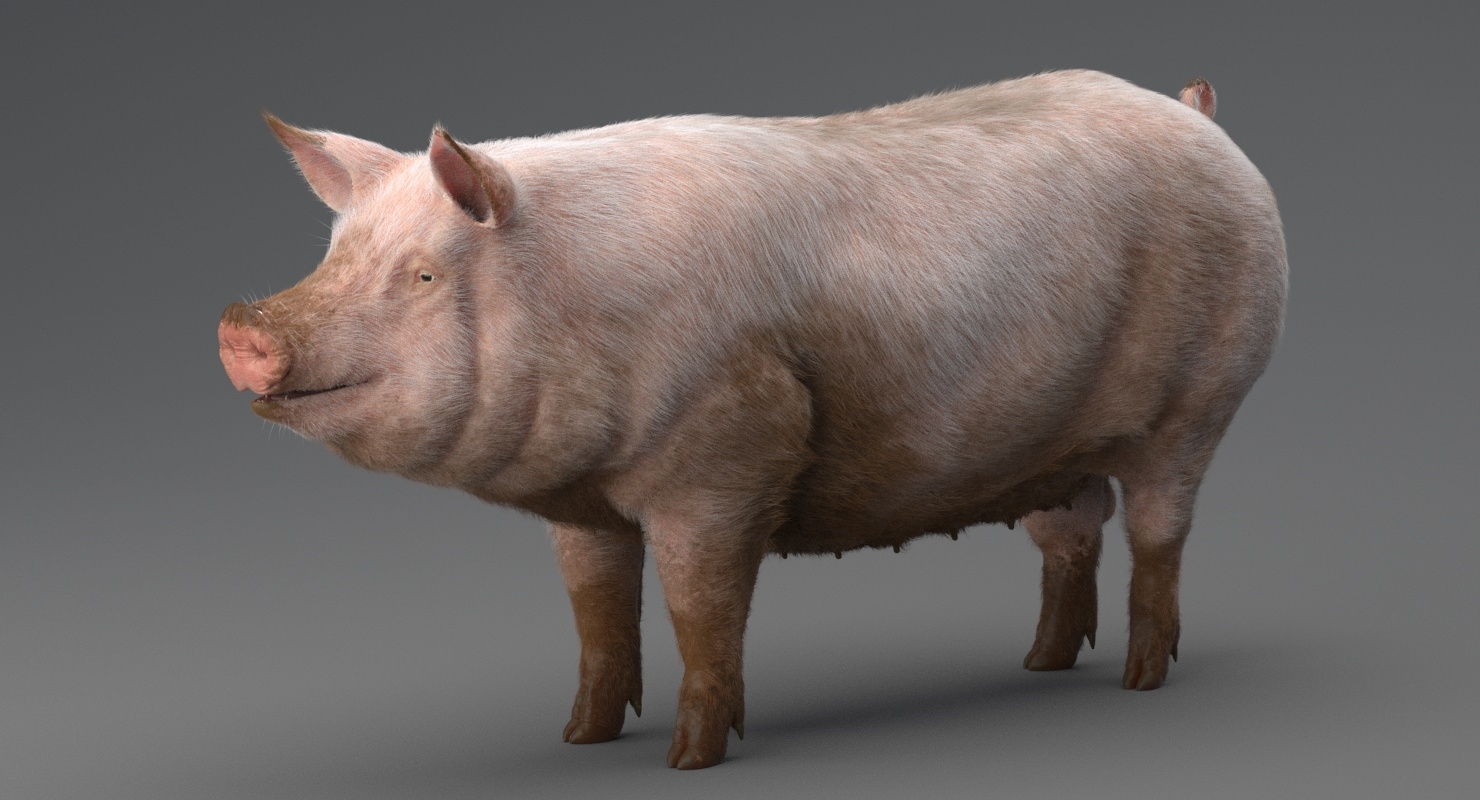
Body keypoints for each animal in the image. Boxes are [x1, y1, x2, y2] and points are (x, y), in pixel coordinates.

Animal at [219, 70, 1286, 769]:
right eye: (335, 251)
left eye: (424, 276)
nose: (241, 327)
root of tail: (1197, 115)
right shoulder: (583, 505)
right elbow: (596, 613)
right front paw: (580, 738)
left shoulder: (729, 454)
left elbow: (702, 611)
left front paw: (689, 761)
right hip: (1056, 452)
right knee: (1073, 534)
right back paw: (1039, 665)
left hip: (1200, 401)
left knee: (1161, 532)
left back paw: (1137, 681)